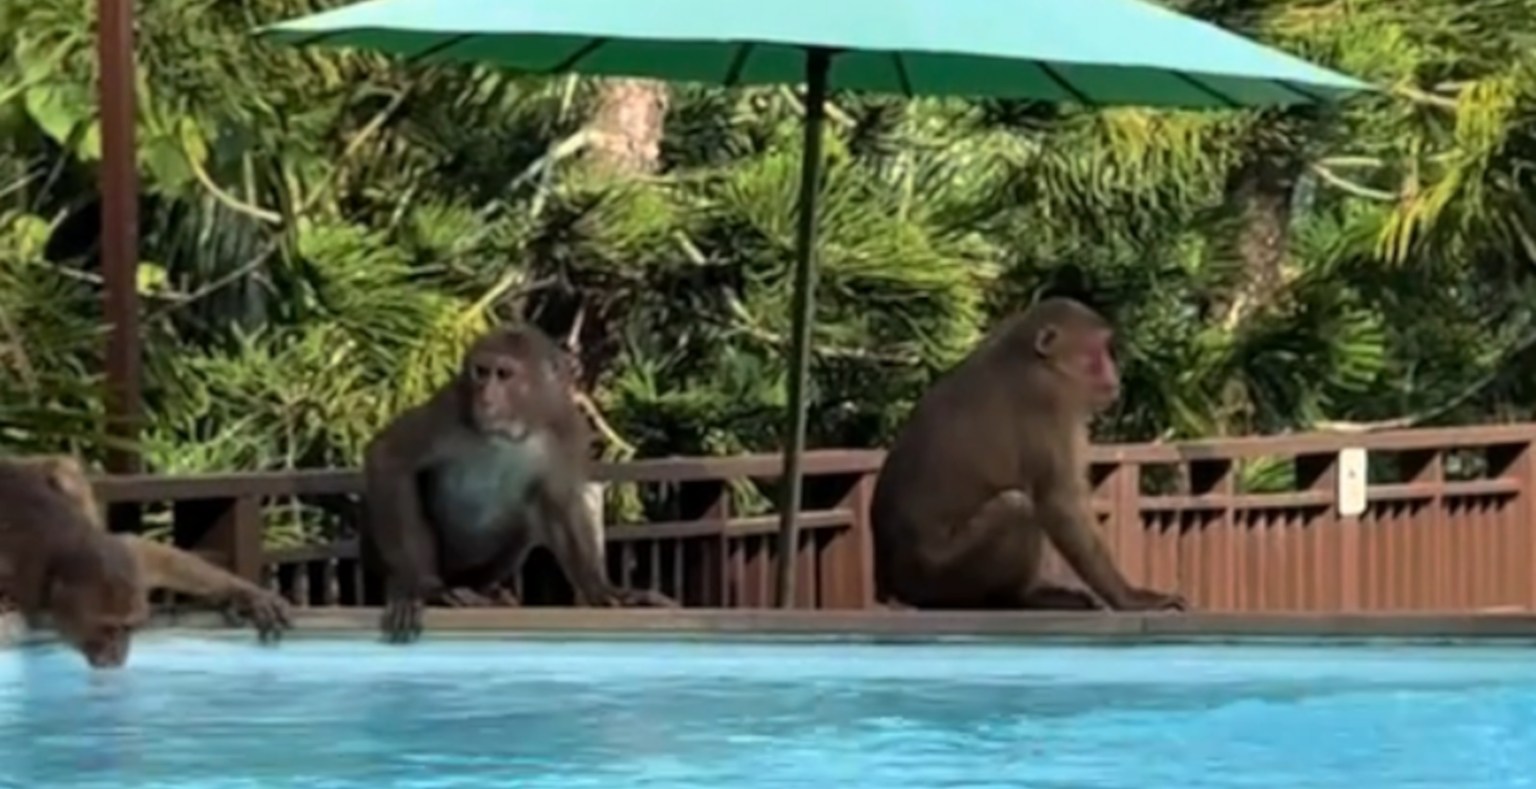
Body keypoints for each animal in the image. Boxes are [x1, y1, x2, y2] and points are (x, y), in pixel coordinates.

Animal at [0, 455, 292, 668]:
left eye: (128, 628)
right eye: (109, 628)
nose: (116, 653)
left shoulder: (123, 557)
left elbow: (154, 555)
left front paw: (247, 593)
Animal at [361, 324, 674, 644]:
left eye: (504, 374)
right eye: (481, 372)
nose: (485, 395)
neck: (513, 431)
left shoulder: (566, 427)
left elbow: (564, 501)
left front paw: (601, 590)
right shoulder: (450, 406)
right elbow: (389, 456)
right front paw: (424, 586)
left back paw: (489, 591)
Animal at [870, 297, 1187, 612]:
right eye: (1097, 351)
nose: (1114, 373)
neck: (1034, 358)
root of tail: (893, 582)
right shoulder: (1051, 401)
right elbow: (1059, 502)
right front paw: (1130, 597)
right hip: (937, 574)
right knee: (1017, 508)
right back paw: (1014, 598)